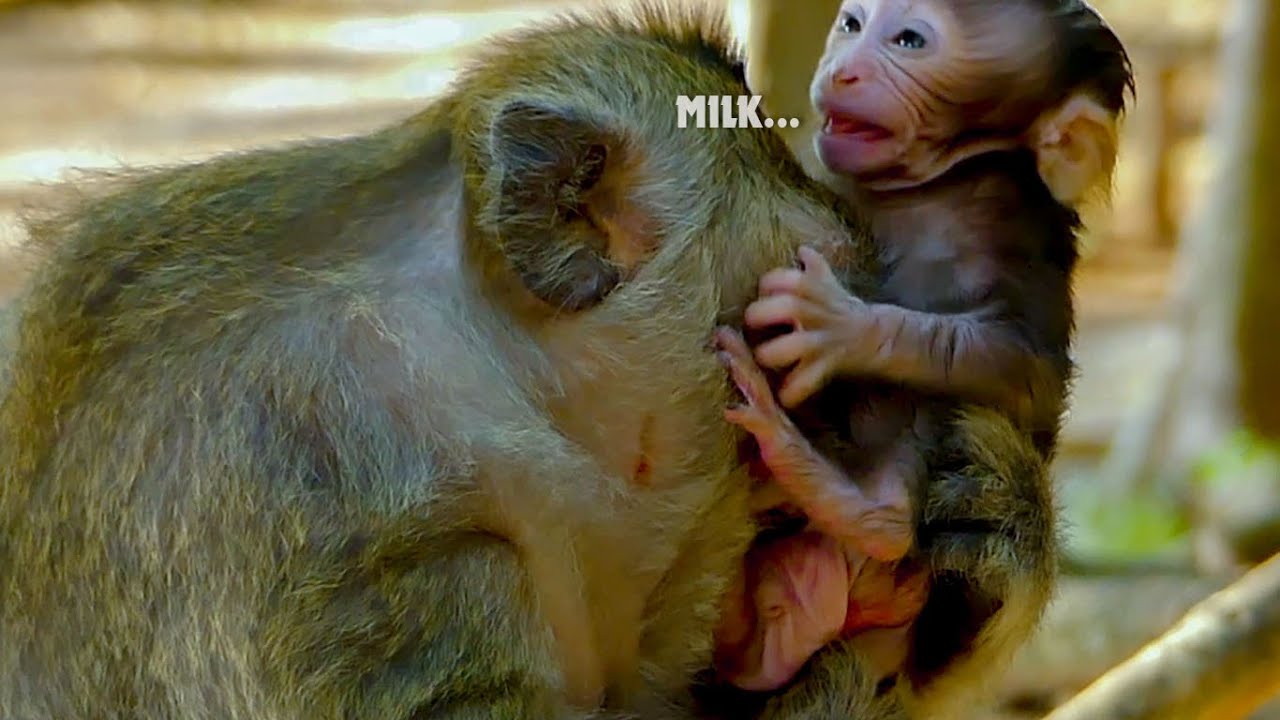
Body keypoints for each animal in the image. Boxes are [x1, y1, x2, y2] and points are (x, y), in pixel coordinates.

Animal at [707, 0, 1133, 699]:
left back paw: (857, 511)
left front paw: (835, 326)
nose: (844, 71)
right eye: (852, 25)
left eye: (910, 41)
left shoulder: (1014, 227)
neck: (923, 186)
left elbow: (1013, 363)